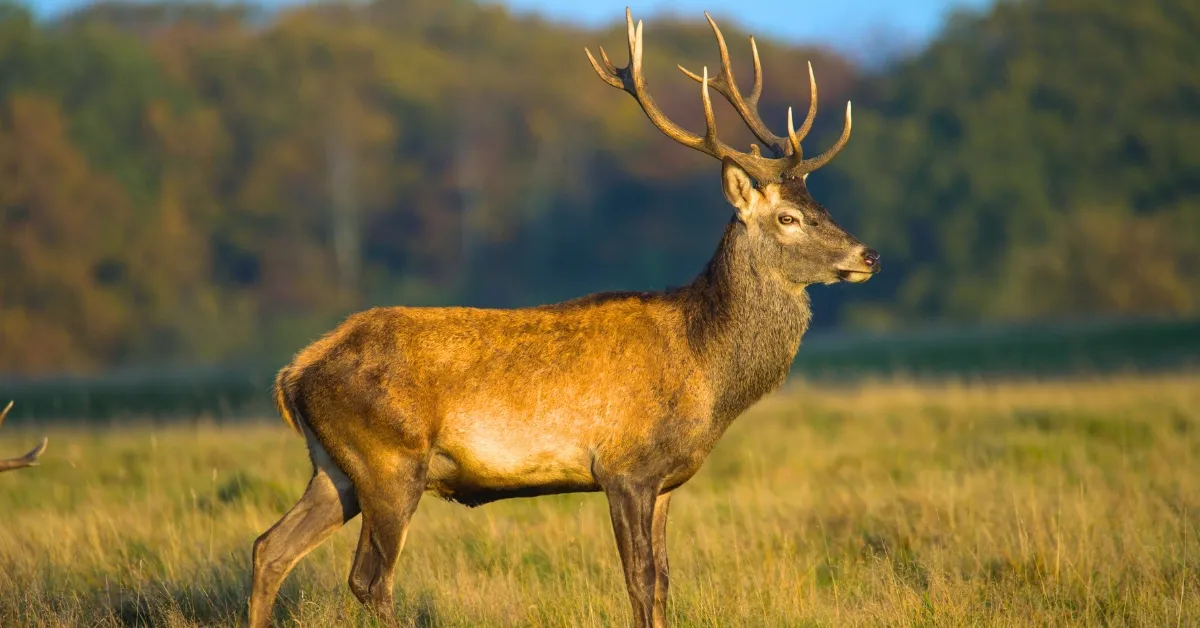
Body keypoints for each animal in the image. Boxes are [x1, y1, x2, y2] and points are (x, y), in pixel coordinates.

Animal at [248, 8, 879, 628]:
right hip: (390, 459)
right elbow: (640, 582)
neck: (704, 369)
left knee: (269, 547)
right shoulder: (624, 468)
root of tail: (293, 374)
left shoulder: (666, 481)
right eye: (789, 217)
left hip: (335, 466)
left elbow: (664, 584)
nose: (868, 255)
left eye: (821, 206)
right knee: (368, 578)